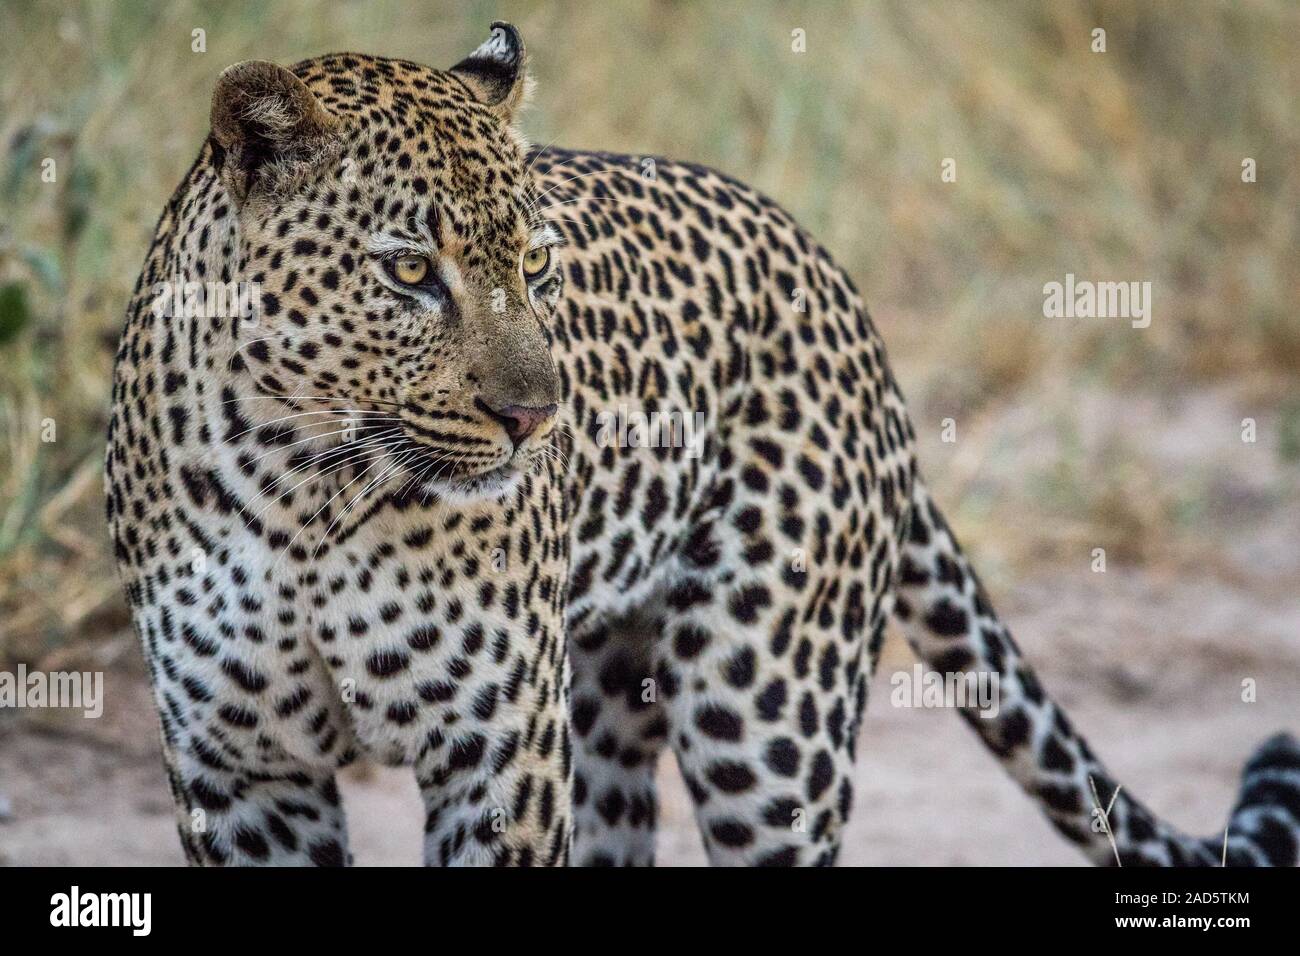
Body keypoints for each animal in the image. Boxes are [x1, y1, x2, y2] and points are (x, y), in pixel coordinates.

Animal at [105, 21, 1300, 866]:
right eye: (408, 271)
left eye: (535, 264)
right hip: (603, 696)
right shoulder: (238, 766)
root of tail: (831, 274)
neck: (300, 483)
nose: (537, 418)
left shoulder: (498, 752)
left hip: (760, 713)